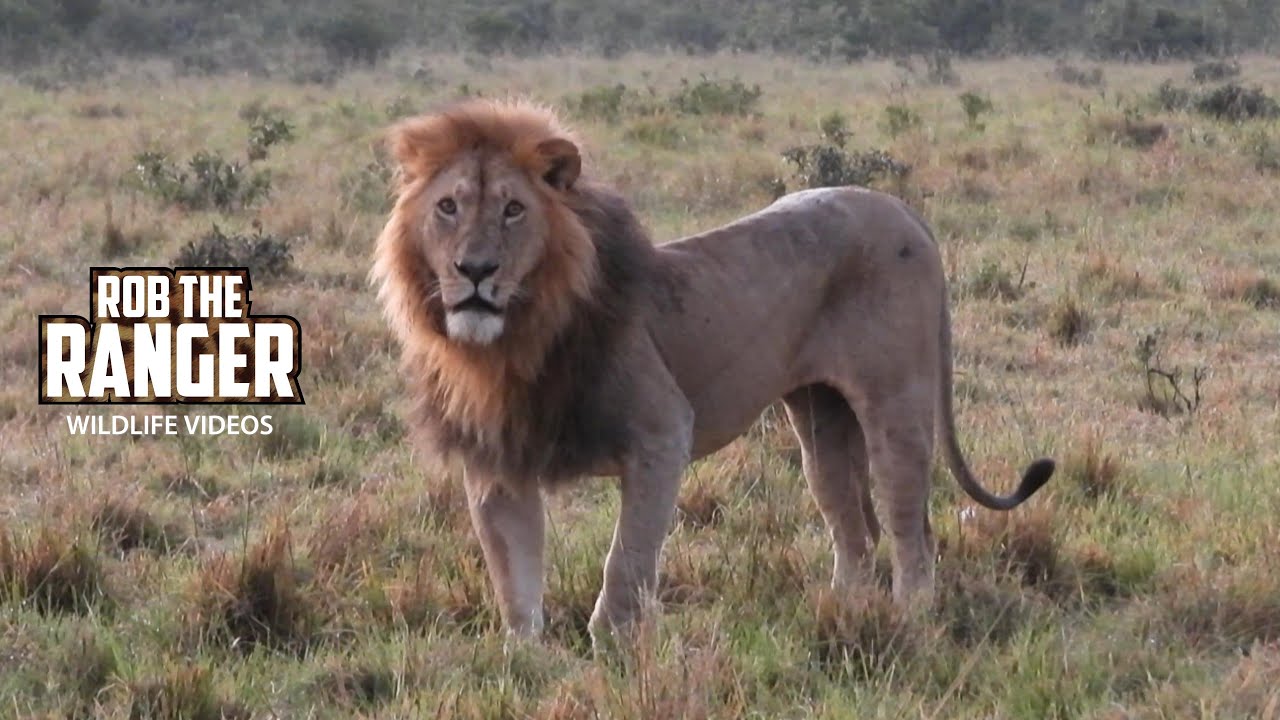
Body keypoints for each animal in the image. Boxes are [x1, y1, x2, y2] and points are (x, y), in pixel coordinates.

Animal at [371, 98, 1054, 645]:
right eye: (448, 207)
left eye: (513, 209)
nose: (475, 270)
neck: (512, 342)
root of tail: (904, 210)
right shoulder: (498, 463)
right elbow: (515, 583)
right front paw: (526, 660)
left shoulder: (660, 433)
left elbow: (626, 561)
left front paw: (611, 648)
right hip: (820, 417)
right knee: (853, 525)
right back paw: (845, 612)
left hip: (896, 404)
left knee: (910, 528)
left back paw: (909, 620)